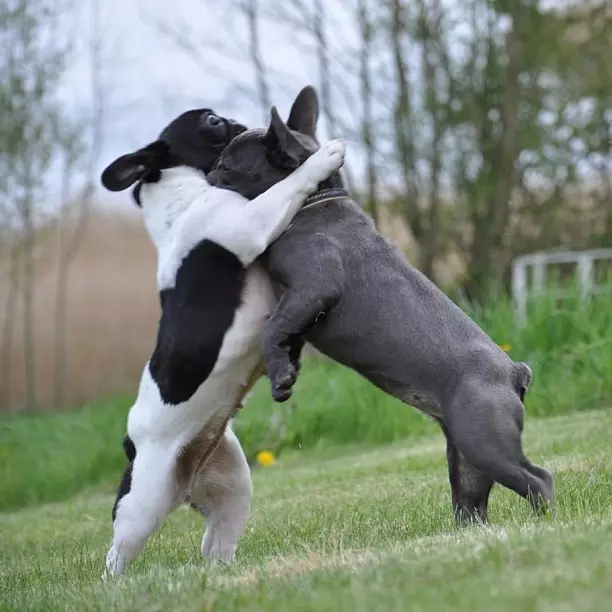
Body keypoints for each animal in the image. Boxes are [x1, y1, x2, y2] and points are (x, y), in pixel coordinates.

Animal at [100, 107, 344, 576]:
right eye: (211, 121)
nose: (239, 121)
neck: (183, 197)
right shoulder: (248, 223)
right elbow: (288, 185)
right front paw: (323, 157)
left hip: (232, 483)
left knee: (216, 545)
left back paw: (225, 573)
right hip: (142, 503)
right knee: (118, 551)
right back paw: (115, 582)